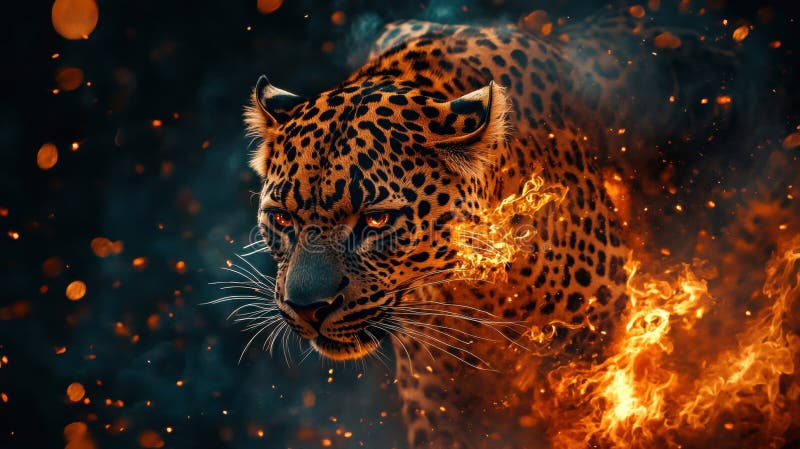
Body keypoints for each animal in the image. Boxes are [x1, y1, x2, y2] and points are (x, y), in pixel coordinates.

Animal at [241, 8, 738, 449]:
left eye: (376, 219)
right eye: (282, 218)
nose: (308, 308)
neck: (474, 289)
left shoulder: (595, 346)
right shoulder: (432, 389)